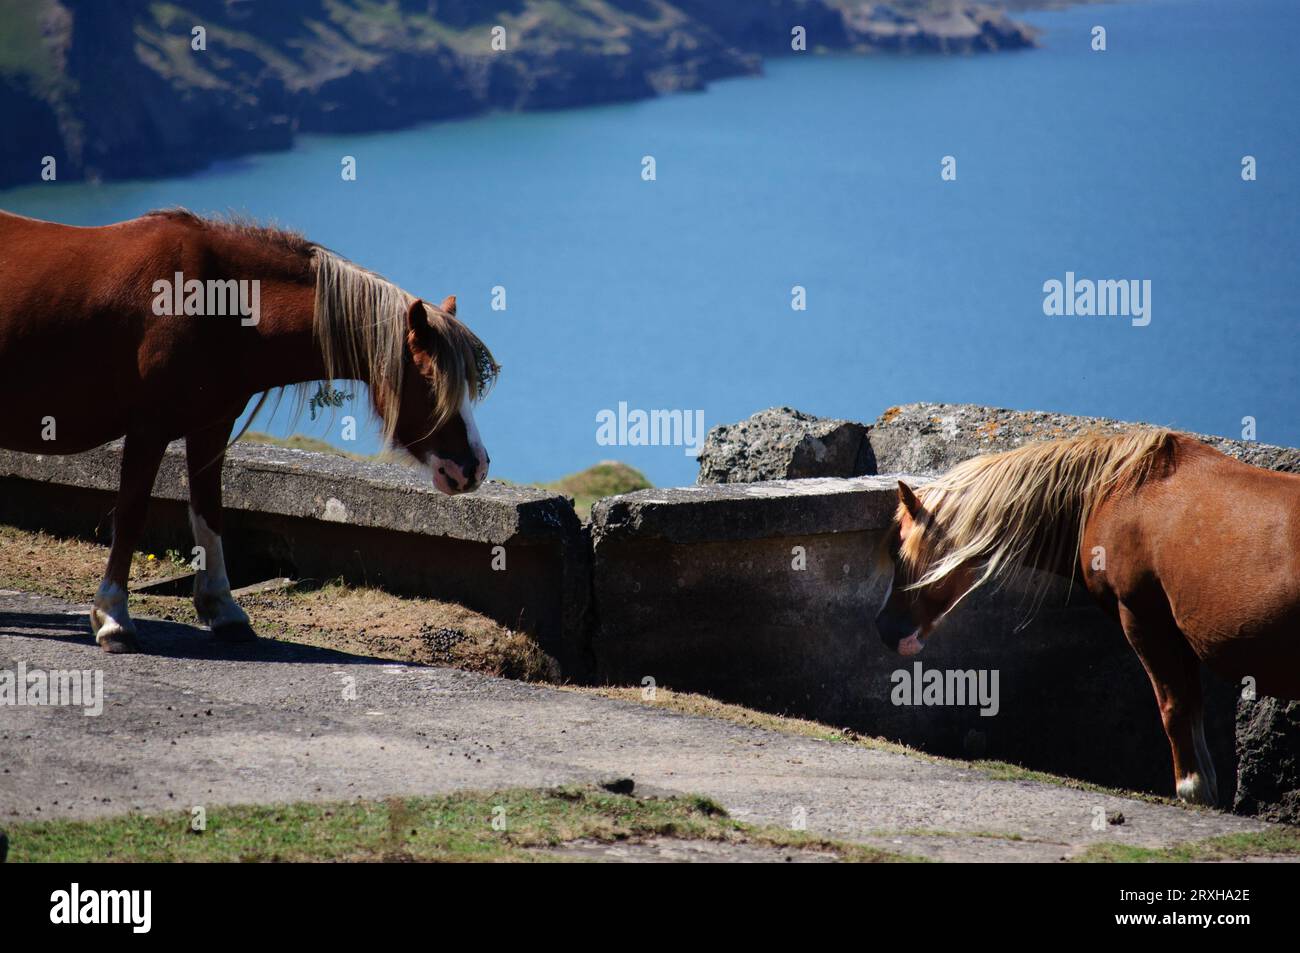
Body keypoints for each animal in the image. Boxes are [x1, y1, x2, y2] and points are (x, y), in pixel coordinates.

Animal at [0, 208, 498, 654]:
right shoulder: (148, 429)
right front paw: (114, 619)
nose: (473, 468)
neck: (214, 304)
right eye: (430, 381)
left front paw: (223, 610)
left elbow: (209, 511)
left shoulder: (212, 427)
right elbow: (131, 516)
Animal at [873, 429, 1300, 805]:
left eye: (898, 549)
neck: (1112, 494)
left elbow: (1174, 707)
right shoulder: (1179, 634)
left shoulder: (1144, 618)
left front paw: (1191, 790)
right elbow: (1191, 707)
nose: (885, 630)